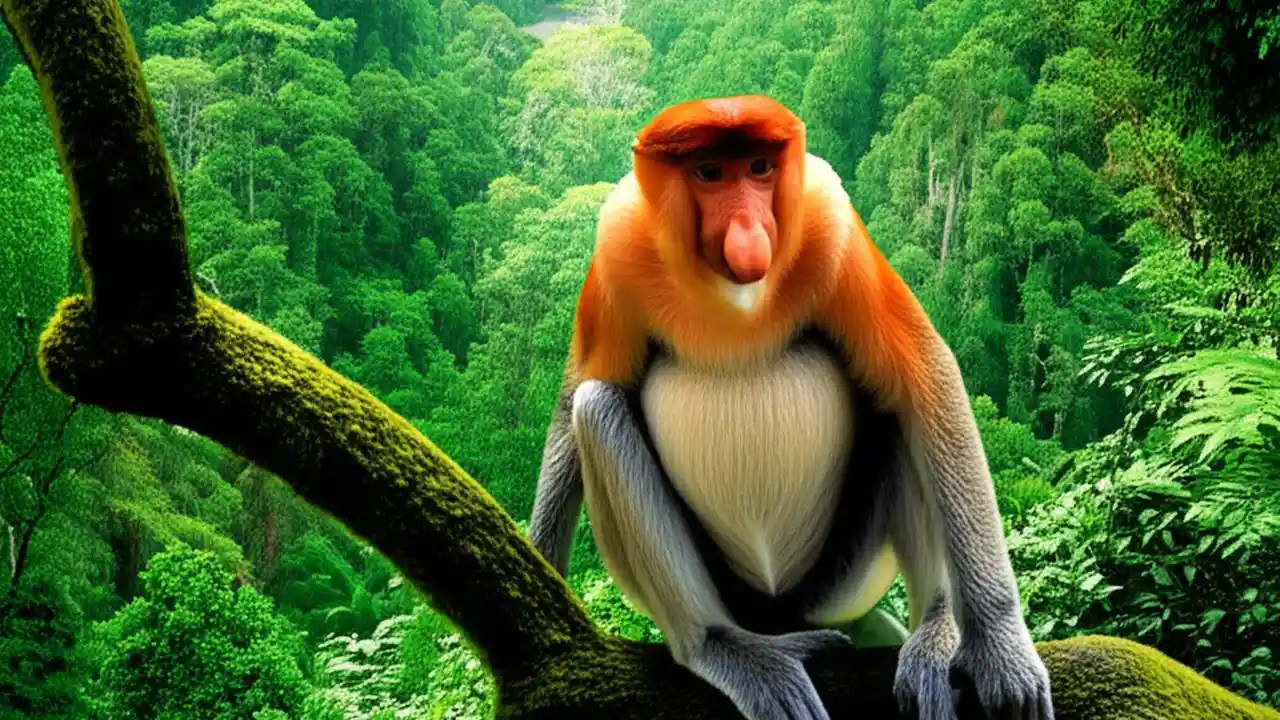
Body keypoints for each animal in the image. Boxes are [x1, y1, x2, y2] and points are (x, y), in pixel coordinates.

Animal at [529, 95, 1053, 720]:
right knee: (598, 408)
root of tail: (780, 614)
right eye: (711, 173)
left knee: (897, 406)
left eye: (759, 168)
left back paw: (936, 631)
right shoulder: (618, 242)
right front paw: (539, 571)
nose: (750, 231)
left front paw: (1002, 652)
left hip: (839, 580)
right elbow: (576, 394)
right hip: (738, 593)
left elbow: (924, 372)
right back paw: (727, 649)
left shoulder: (830, 220)